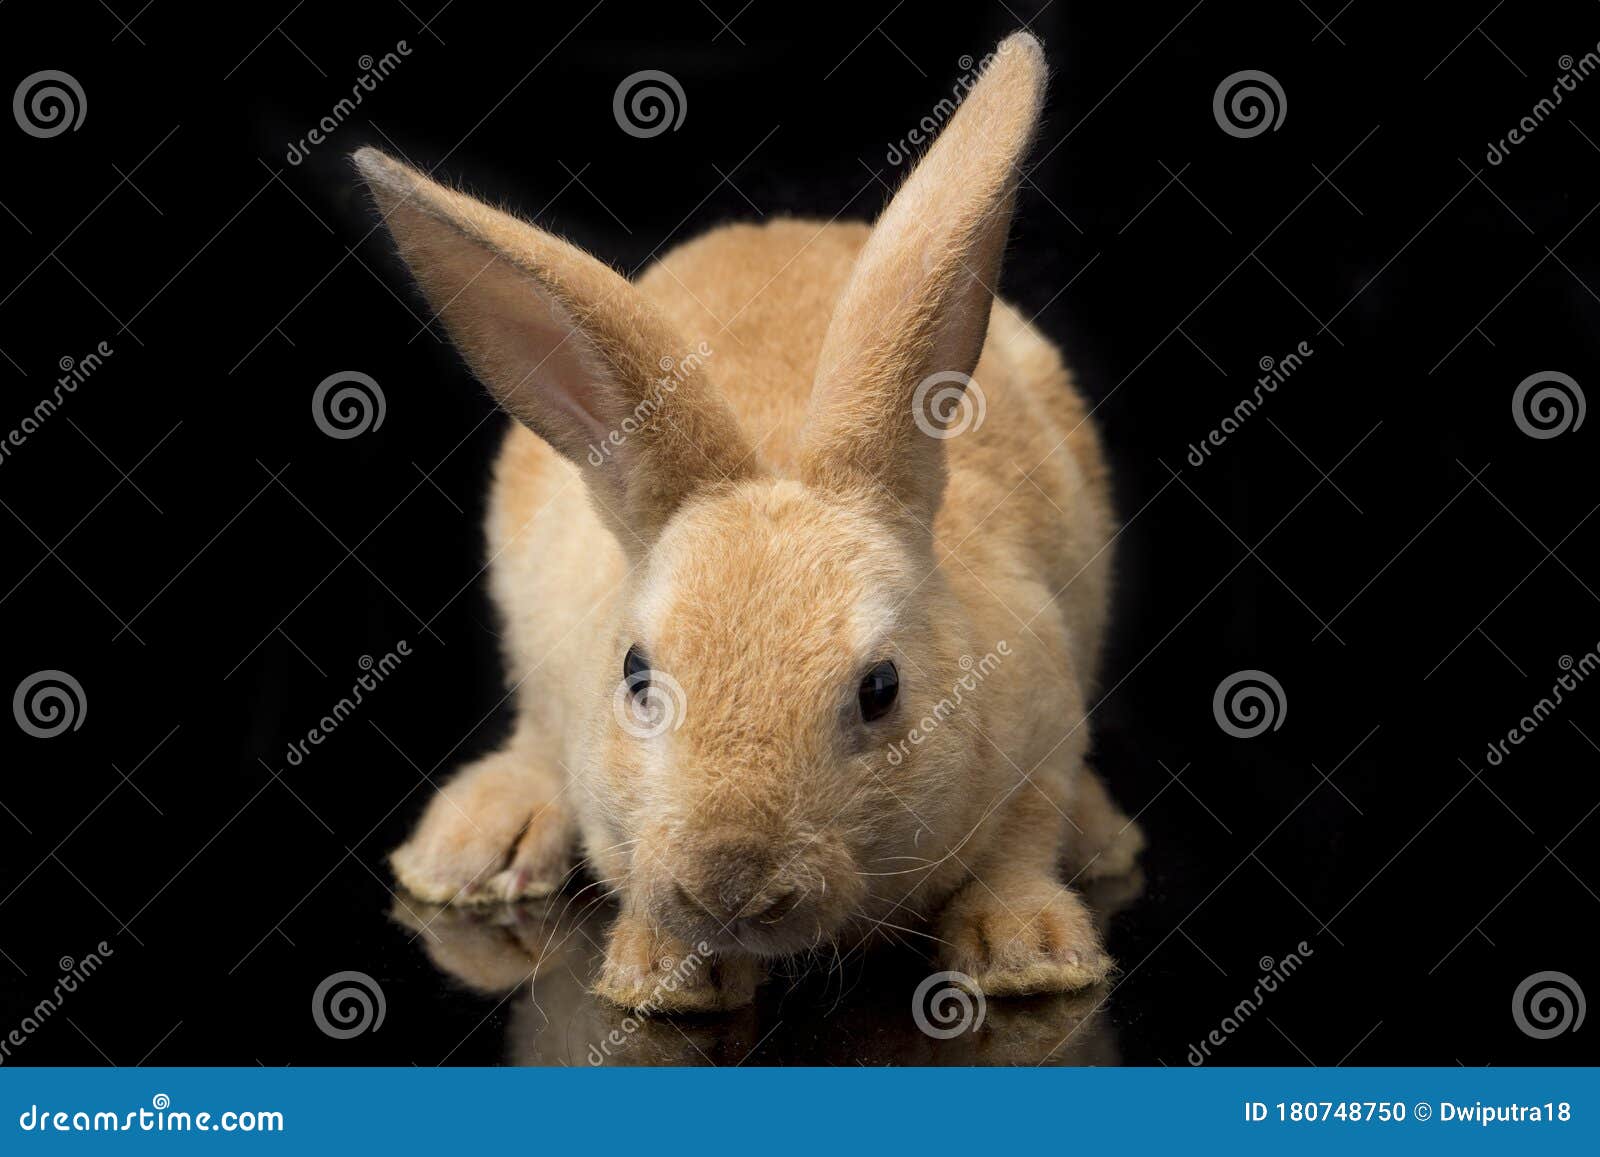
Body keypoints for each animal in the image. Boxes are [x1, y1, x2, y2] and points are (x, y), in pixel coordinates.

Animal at [356, 30, 1144, 1013]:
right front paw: (665, 976)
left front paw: (1028, 953)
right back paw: (470, 853)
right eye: (637, 676)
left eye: (881, 688)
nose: (728, 885)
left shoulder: (1044, 723)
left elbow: (1020, 847)